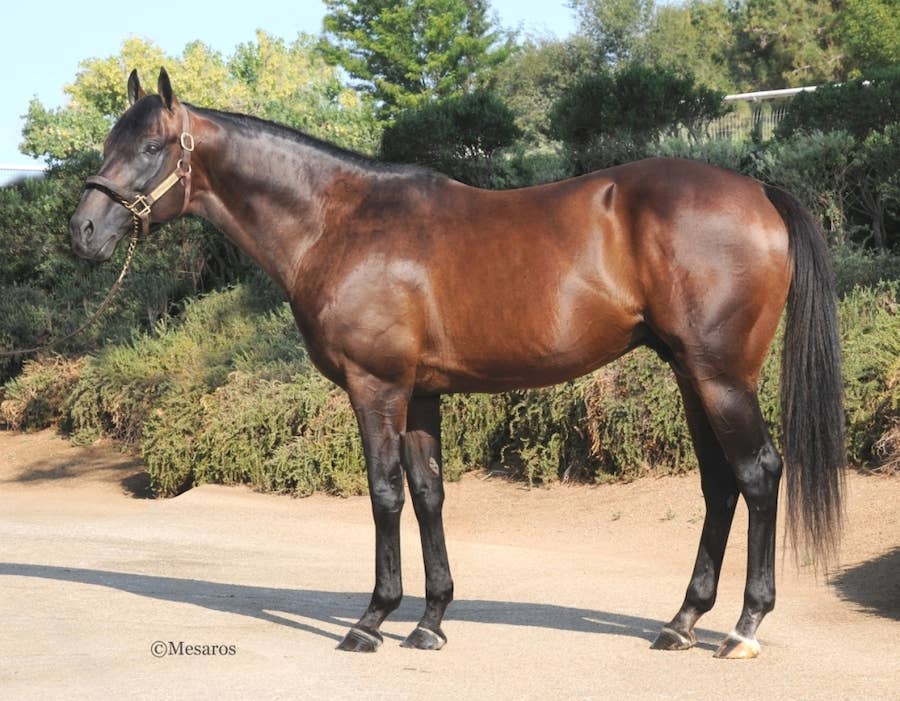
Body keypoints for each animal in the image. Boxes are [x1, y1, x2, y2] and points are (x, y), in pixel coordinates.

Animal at [70, 69, 845, 659]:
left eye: (151, 146)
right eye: (109, 141)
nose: (82, 231)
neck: (337, 221)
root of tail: (760, 192)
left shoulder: (375, 387)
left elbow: (384, 494)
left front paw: (371, 619)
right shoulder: (420, 394)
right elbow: (428, 494)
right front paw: (431, 619)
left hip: (721, 377)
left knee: (757, 474)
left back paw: (744, 627)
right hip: (691, 375)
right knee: (719, 486)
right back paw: (681, 621)